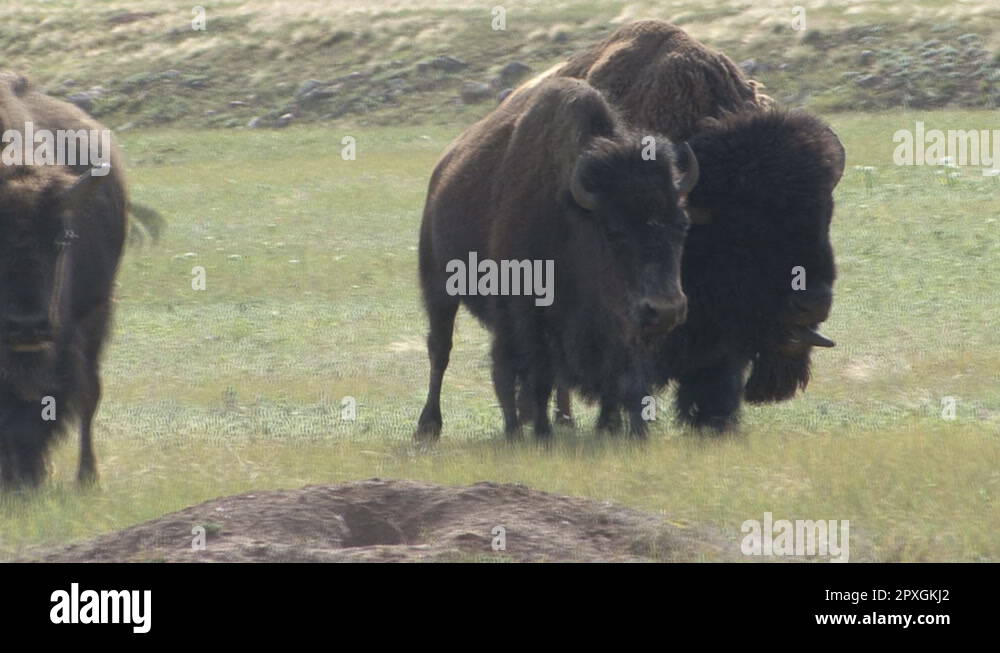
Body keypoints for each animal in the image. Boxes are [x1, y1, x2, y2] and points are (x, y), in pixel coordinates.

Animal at [414, 77, 699, 441]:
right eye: (613, 230)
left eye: (682, 224)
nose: (666, 309)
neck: (574, 216)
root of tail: (442, 172)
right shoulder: (529, 311)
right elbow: (537, 375)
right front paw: (542, 433)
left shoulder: (621, 321)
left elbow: (626, 373)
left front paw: (625, 428)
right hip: (439, 288)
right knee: (442, 349)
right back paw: (430, 427)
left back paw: (558, 419)